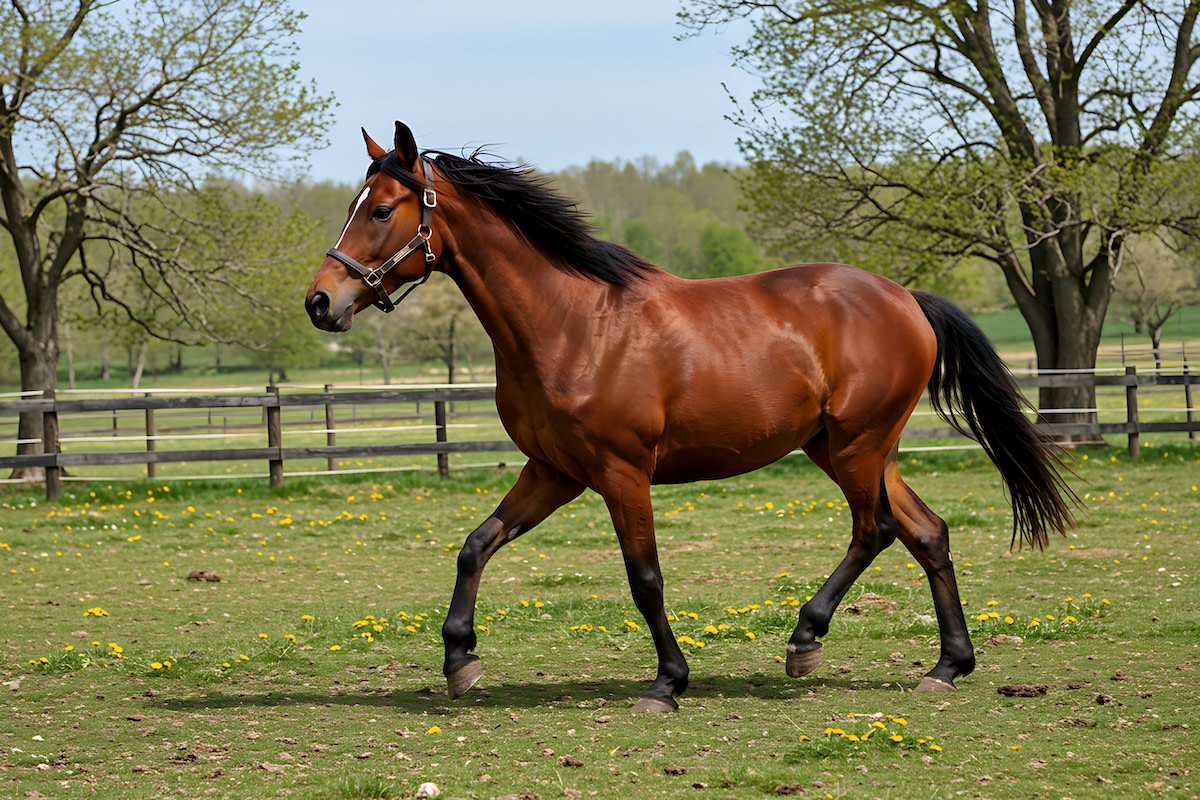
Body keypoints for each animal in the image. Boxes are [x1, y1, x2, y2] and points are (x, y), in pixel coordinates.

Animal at [305, 121, 1077, 713]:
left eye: (381, 210)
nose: (320, 301)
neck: (572, 324)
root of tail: (906, 298)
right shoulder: (554, 471)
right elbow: (476, 545)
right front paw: (459, 659)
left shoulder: (621, 473)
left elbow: (644, 579)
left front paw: (667, 684)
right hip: (845, 448)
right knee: (927, 532)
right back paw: (946, 667)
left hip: (858, 446)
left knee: (877, 529)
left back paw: (806, 640)